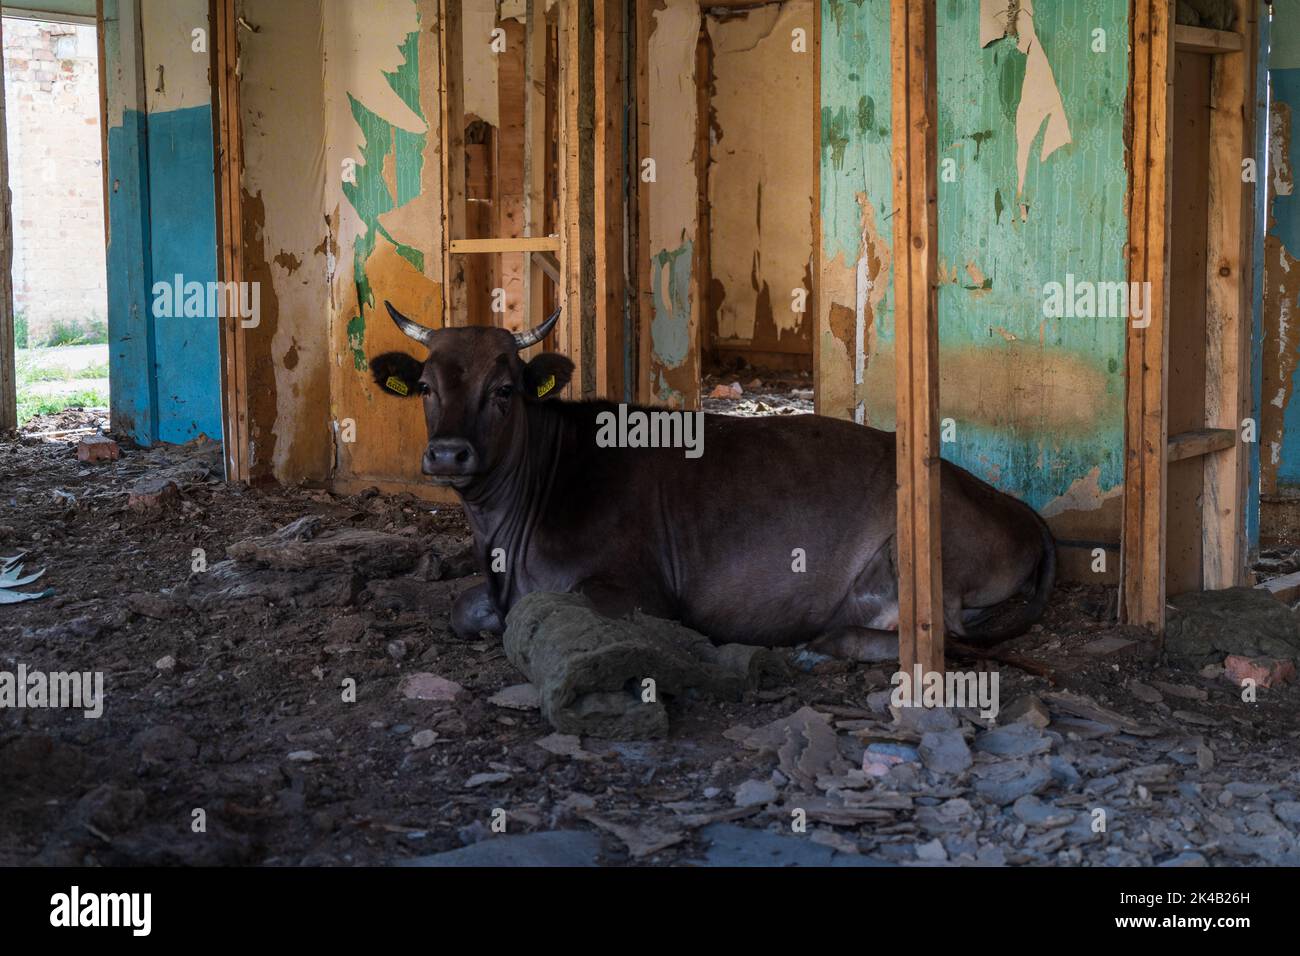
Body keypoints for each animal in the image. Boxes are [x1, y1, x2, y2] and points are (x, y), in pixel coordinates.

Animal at [368, 301, 1056, 662]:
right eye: (425, 387)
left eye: (505, 390)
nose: (448, 454)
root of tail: (1009, 501)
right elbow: (462, 608)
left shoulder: (639, 592)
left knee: (939, 635)